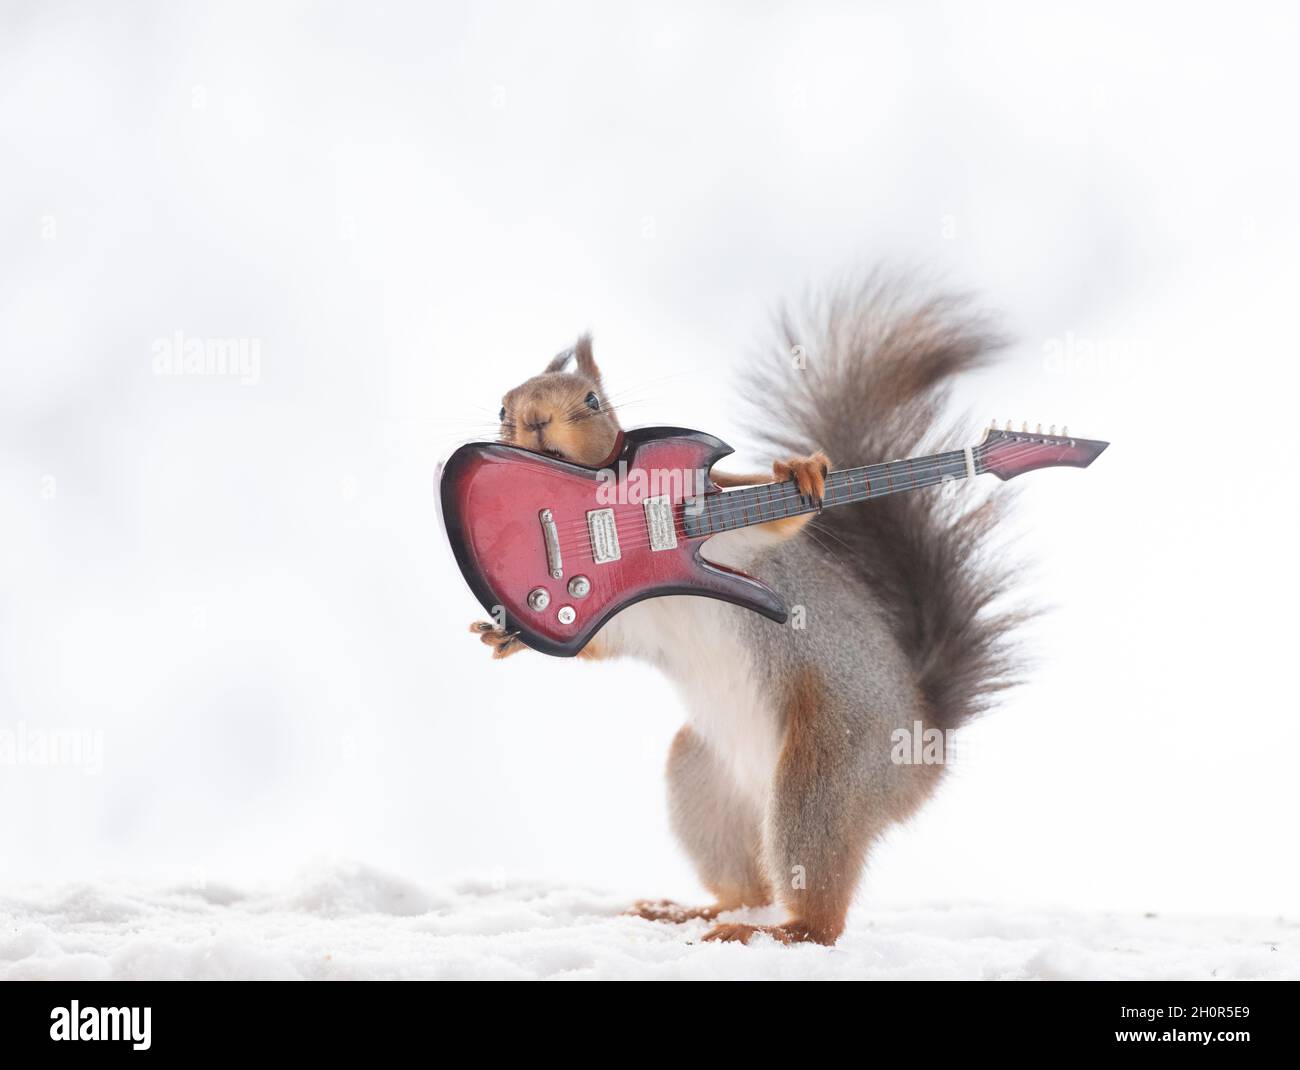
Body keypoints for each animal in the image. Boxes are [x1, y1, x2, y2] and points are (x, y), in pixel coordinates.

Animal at [469, 276, 1023, 946]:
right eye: (502, 409)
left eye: (593, 401)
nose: (533, 420)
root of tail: (927, 749)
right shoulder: (621, 612)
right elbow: (592, 638)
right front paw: (506, 636)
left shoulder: (727, 525)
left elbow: (777, 517)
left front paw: (804, 472)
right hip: (700, 779)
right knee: (749, 886)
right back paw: (692, 912)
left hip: (830, 768)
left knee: (820, 908)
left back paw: (787, 930)